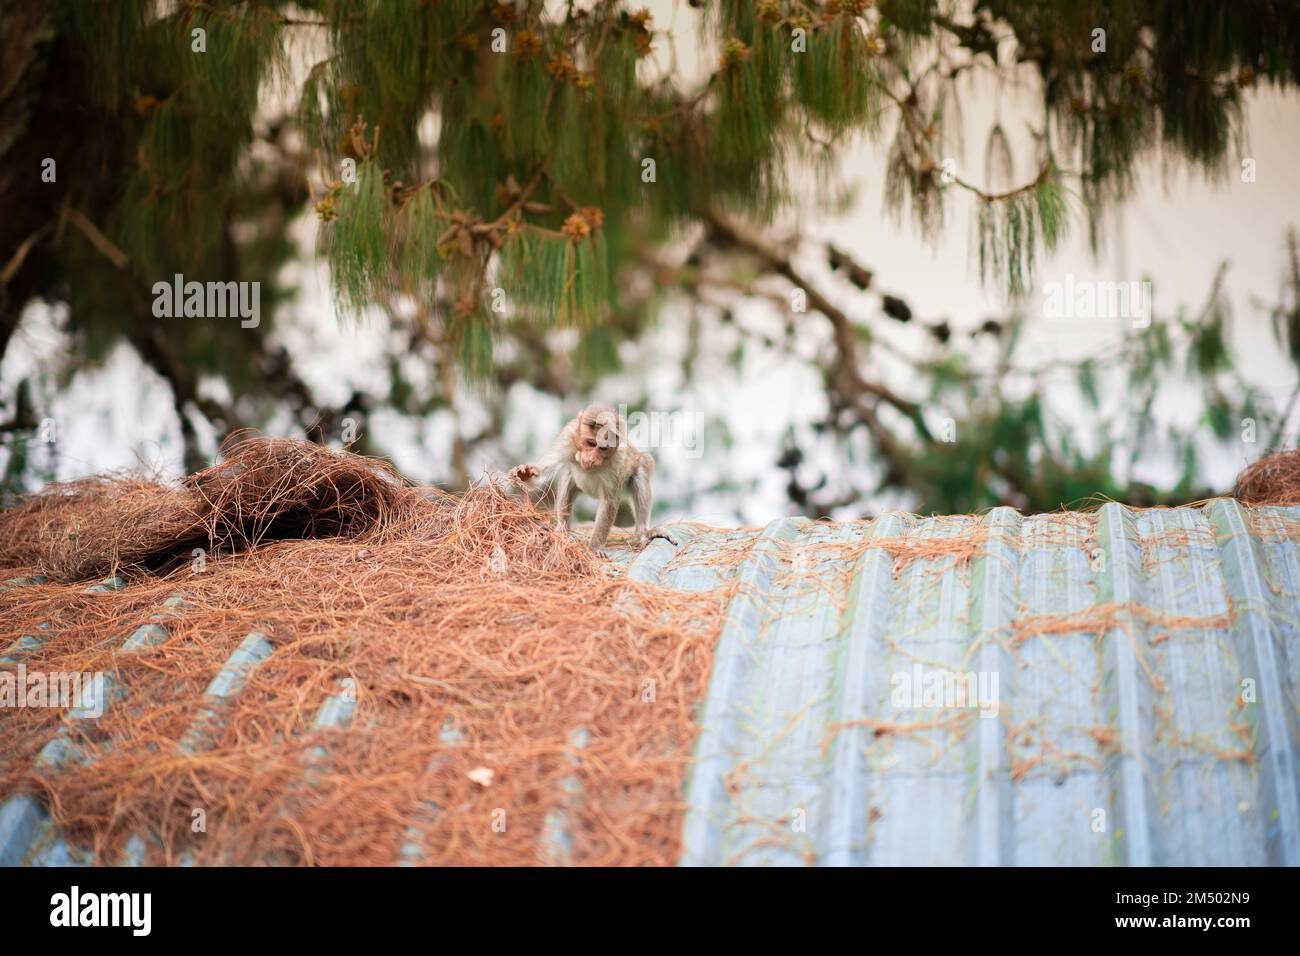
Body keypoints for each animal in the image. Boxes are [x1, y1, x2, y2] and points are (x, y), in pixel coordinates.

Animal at [510, 404, 679, 556]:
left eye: (603, 448)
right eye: (591, 443)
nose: (591, 459)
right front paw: (526, 473)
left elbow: (610, 501)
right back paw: (562, 529)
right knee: (569, 476)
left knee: (641, 465)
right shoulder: (568, 435)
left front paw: (595, 547)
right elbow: (546, 467)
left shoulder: (618, 460)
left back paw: (643, 531)